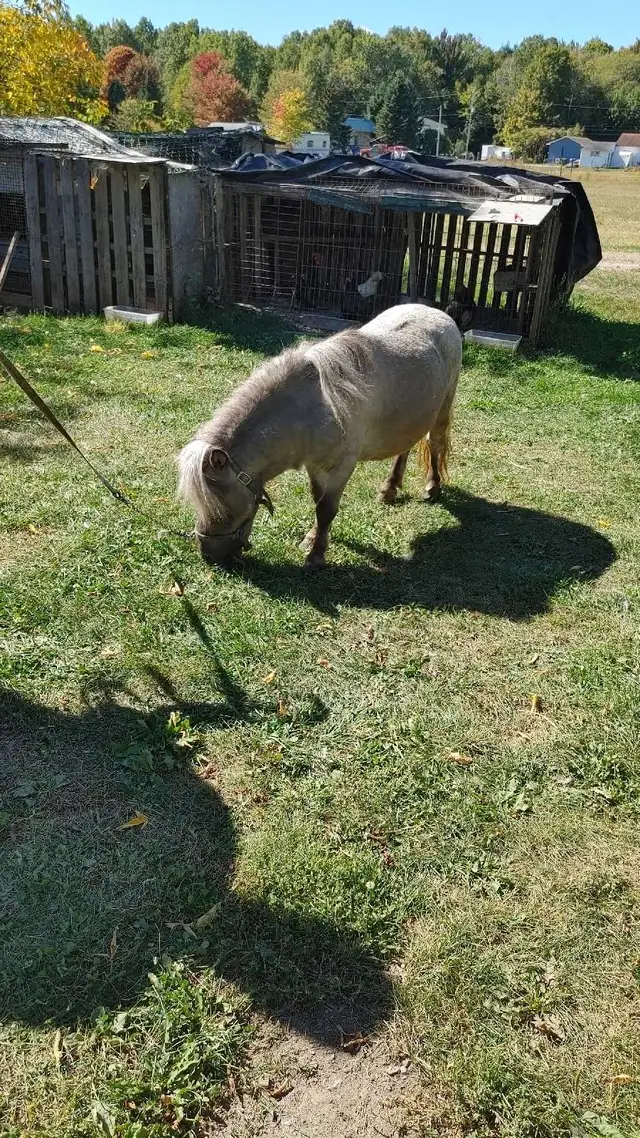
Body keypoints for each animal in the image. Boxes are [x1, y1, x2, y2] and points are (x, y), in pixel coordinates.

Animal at [178, 303, 466, 568]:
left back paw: (432, 487)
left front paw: (316, 556)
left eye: (218, 504)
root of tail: (437, 313)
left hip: (442, 410)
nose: (210, 555)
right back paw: (390, 488)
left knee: (436, 444)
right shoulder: (314, 466)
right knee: (404, 448)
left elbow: (327, 509)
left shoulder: (341, 467)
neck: (313, 408)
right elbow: (318, 502)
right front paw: (312, 538)